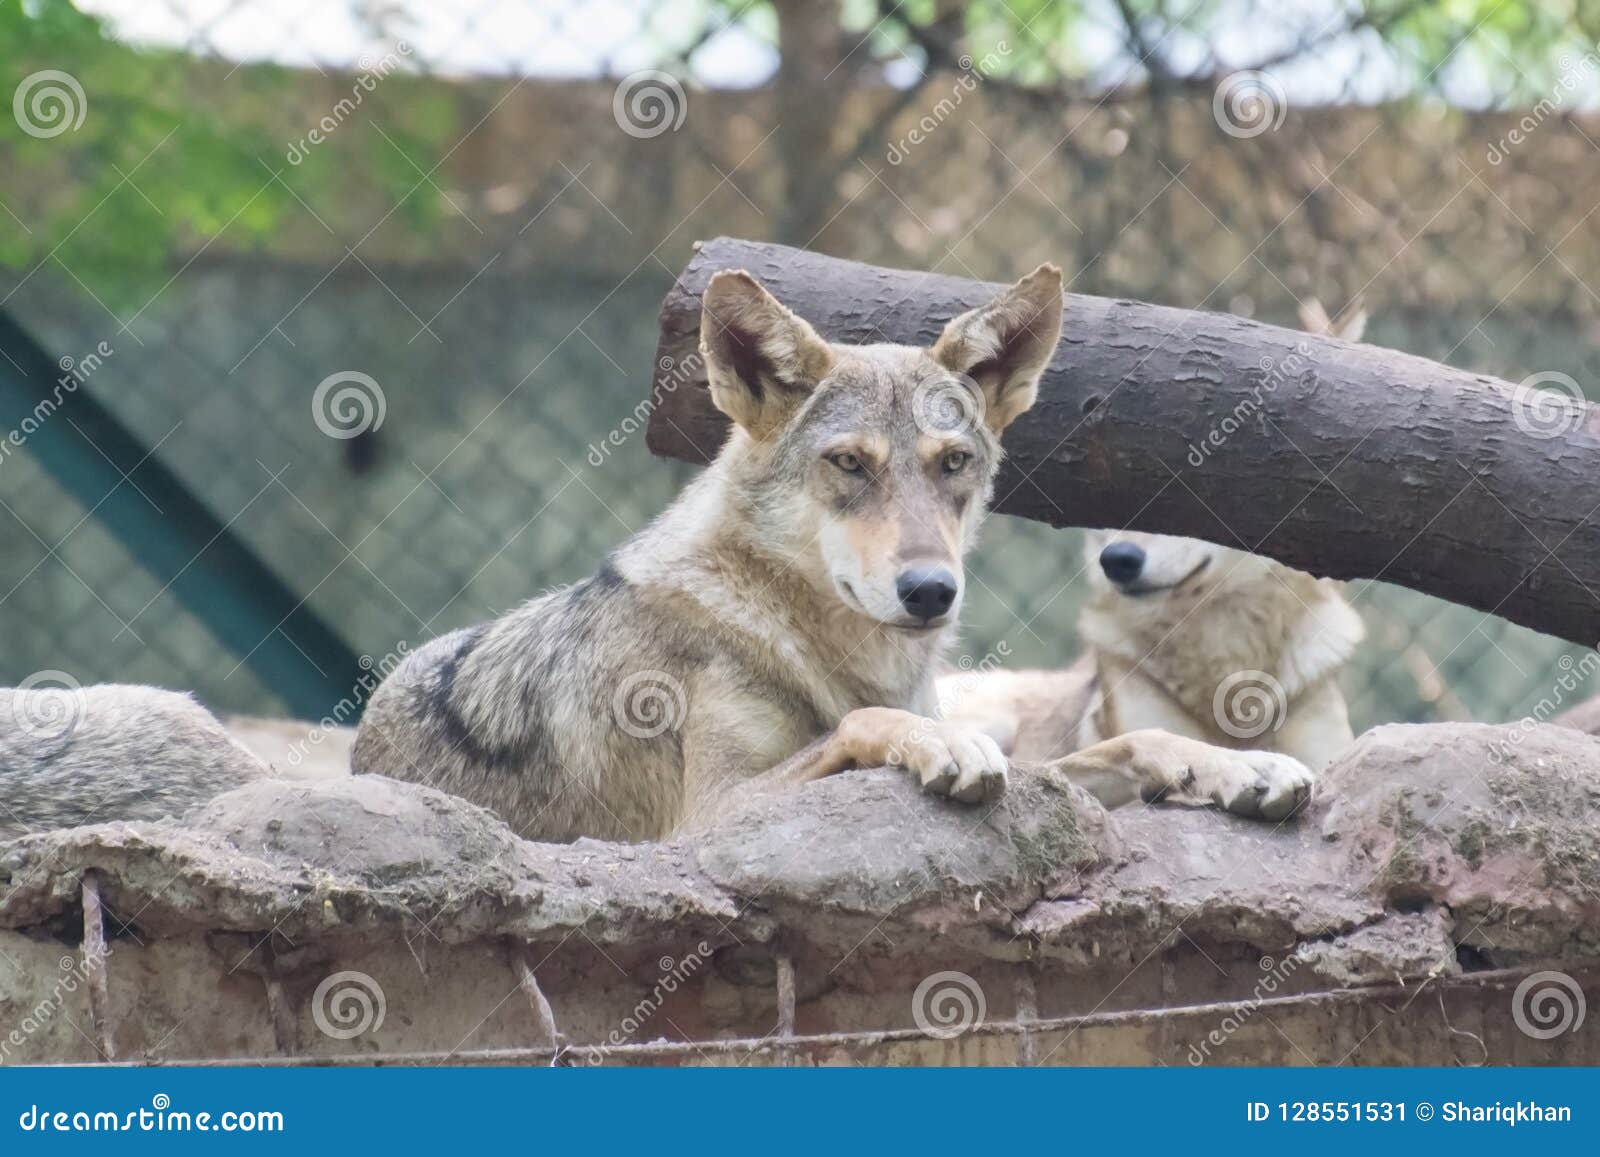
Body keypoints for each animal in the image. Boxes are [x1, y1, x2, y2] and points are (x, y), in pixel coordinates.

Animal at [349, 268, 1317, 840]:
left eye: (953, 463)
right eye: (850, 463)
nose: (930, 589)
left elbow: (1132, 740)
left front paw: (1239, 764)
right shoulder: (703, 822)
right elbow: (864, 724)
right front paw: (938, 743)